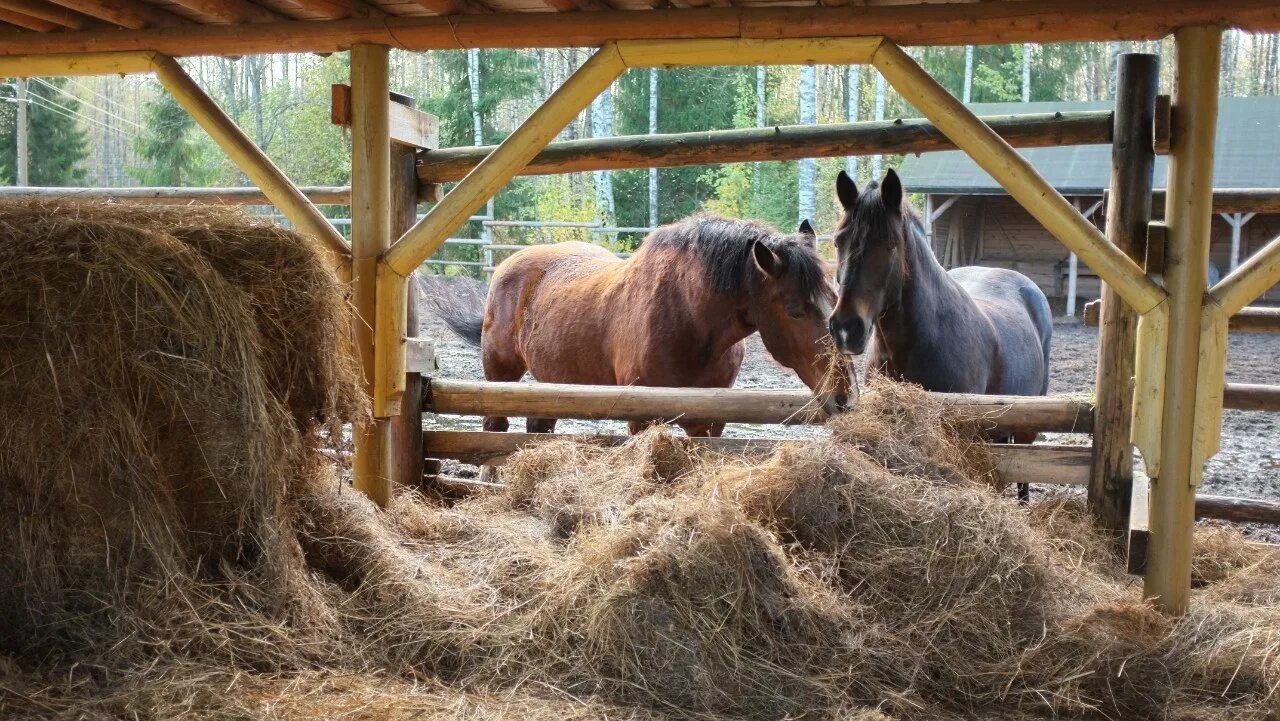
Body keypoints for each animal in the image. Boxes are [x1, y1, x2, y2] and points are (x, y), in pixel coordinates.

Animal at [435, 213, 855, 437]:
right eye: (795, 310)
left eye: (834, 299)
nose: (844, 397)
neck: (689, 319)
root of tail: (506, 266)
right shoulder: (642, 419)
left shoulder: (711, 420)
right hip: (499, 376)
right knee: (494, 426)